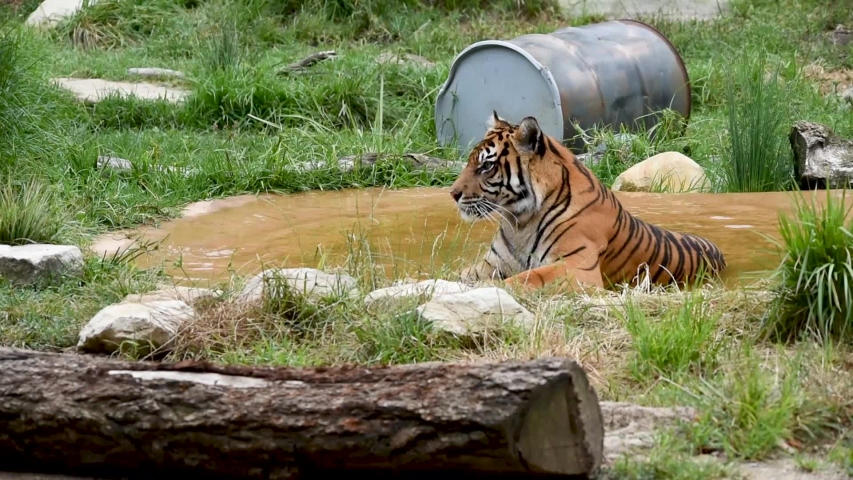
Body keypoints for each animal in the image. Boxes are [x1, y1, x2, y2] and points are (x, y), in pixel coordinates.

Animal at [449, 111, 726, 292]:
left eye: (486, 166)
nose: (452, 193)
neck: (520, 220)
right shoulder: (491, 264)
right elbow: (460, 275)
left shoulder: (577, 268)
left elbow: (528, 278)